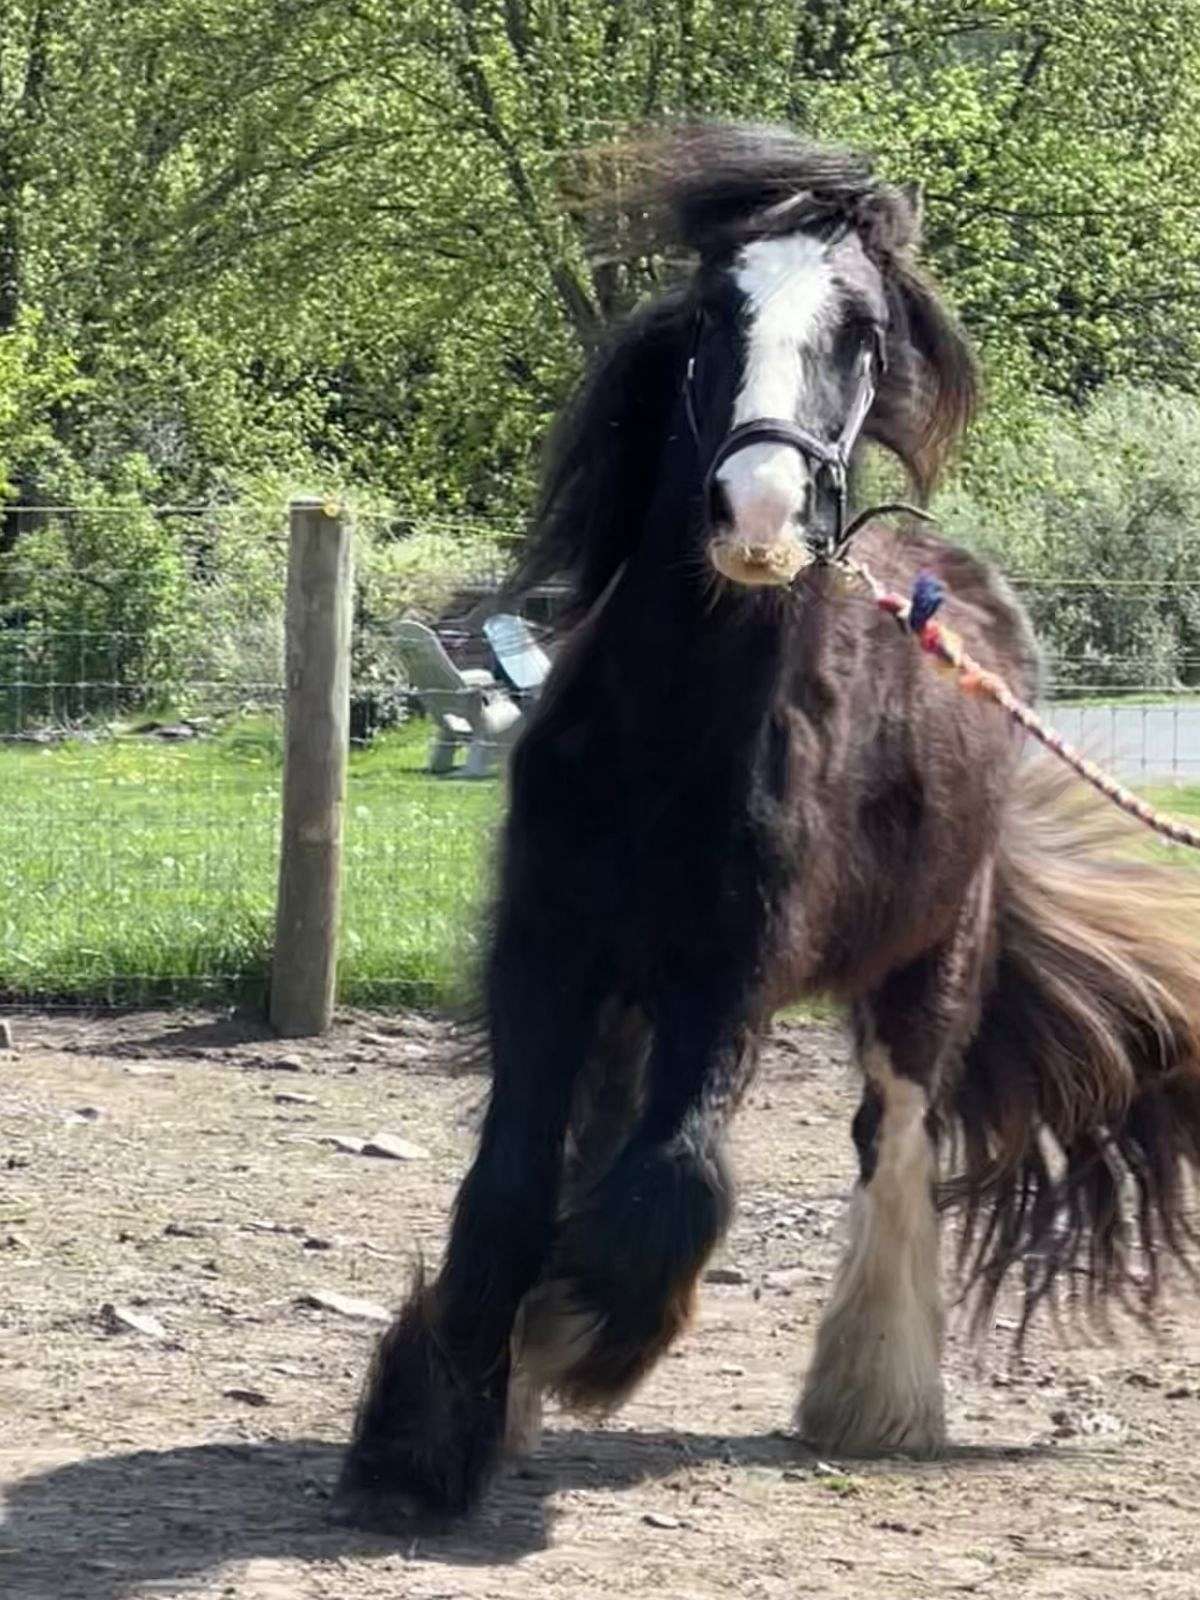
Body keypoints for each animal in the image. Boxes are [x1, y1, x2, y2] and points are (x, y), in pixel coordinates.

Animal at [335, 123, 1200, 1525]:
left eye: (861, 330)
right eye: (710, 317)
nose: (757, 512)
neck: (665, 732)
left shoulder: (727, 967)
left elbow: (675, 1178)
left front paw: (574, 1327)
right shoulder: (550, 953)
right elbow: (515, 1176)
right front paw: (429, 1429)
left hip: (928, 964)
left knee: (892, 1141)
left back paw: (872, 1395)